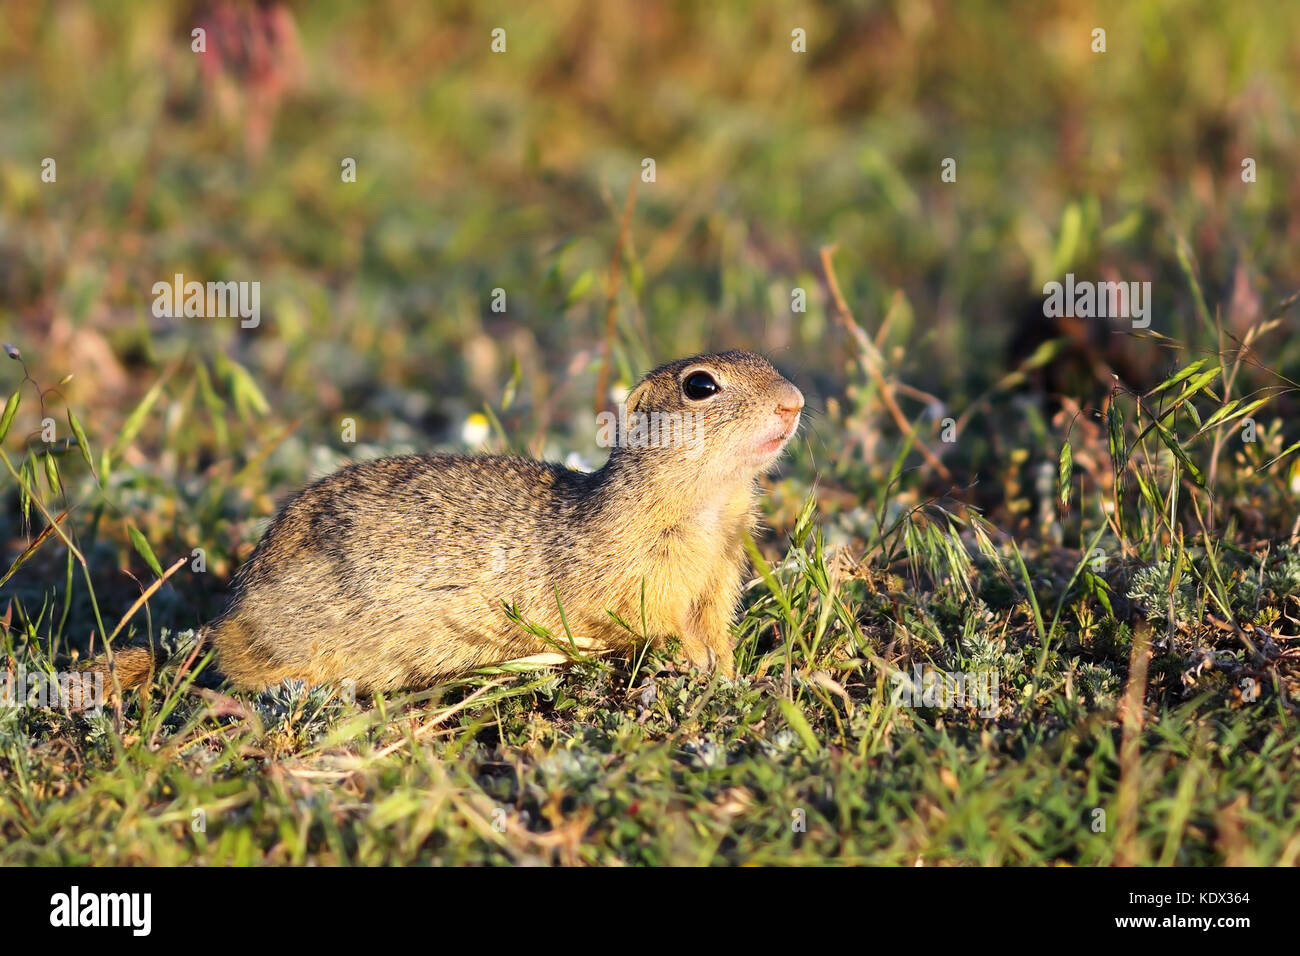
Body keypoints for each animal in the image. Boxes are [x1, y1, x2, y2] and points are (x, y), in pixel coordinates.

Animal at [88, 350, 804, 698]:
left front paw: (729, 670)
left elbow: (714, 626)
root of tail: (226, 617)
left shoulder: (721, 575)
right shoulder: (636, 577)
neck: (706, 506)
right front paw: (697, 665)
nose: (795, 401)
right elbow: (655, 622)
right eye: (701, 386)